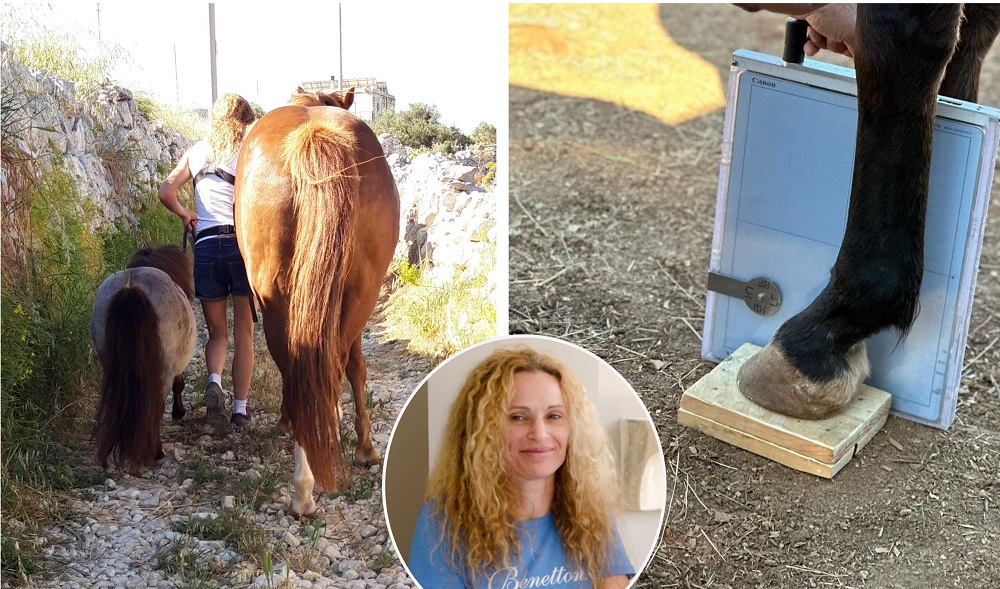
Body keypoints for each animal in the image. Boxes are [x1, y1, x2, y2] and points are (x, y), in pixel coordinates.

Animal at [90, 244, 196, 469]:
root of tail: (130, 289)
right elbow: (179, 385)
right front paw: (179, 412)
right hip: (162, 373)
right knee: (156, 406)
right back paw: (156, 453)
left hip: (111, 365)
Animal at [234, 86, 400, 516]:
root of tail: (314, 136)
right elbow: (357, 368)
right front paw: (365, 448)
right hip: (357, 295)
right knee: (327, 366)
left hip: (281, 302)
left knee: (304, 371)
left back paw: (304, 481)